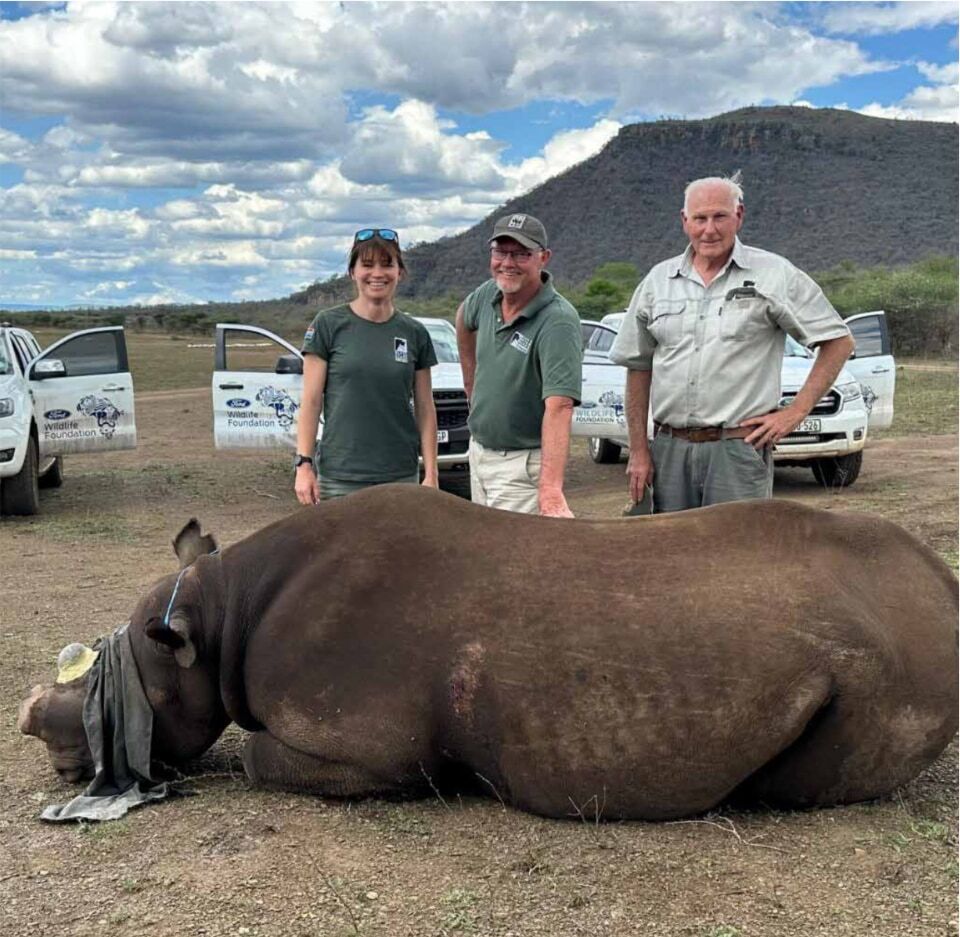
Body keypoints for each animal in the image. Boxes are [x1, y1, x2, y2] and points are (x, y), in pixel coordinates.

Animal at [18, 486, 958, 821]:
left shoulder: (374, 751)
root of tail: (943, 588)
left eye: (113, 698)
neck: (217, 617)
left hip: (895, 673)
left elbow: (253, 758)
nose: (44, 740)